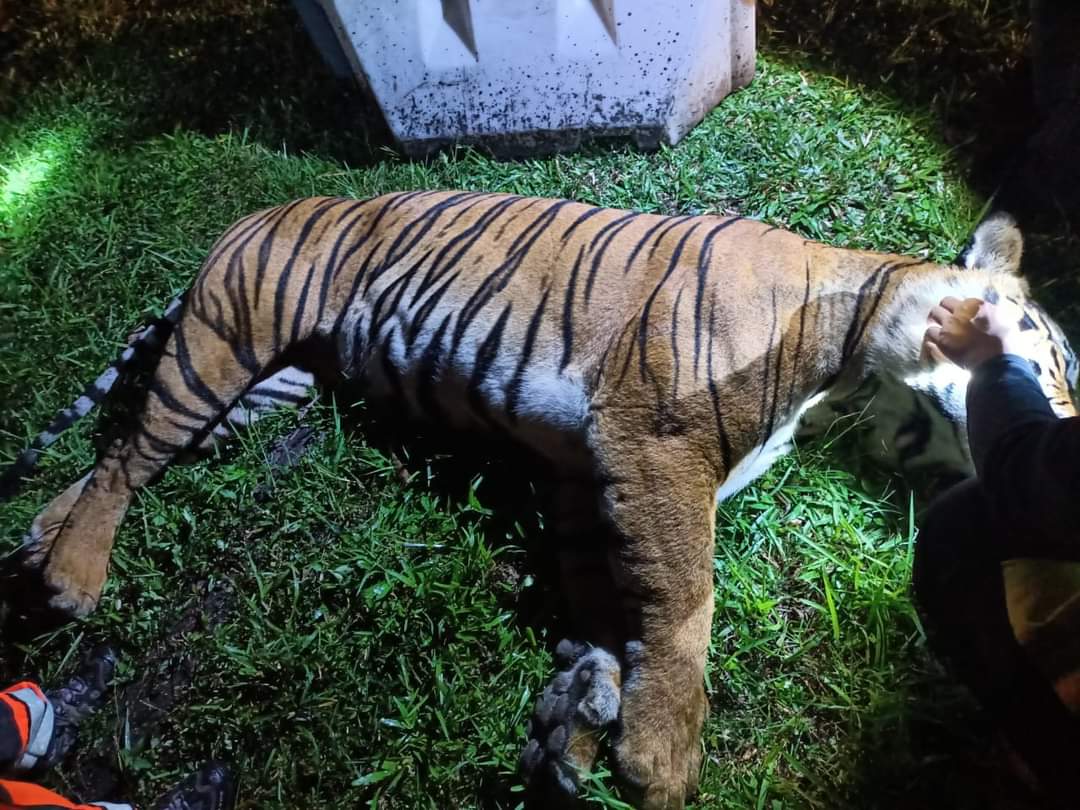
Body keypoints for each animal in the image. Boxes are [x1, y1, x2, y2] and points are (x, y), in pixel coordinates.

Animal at [2, 192, 1076, 809]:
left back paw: (43, 542)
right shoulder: (654, 443)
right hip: (229, 334)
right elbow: (684, 600)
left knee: (121, 452)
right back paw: (73, 579)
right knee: (133, 451)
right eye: (1060, 362)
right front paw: (661, 756)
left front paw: (579, 721)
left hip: (261, 390)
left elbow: (605, 601)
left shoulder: (584, 476)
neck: (851, 360)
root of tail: (252, 218)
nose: (1067, 426)